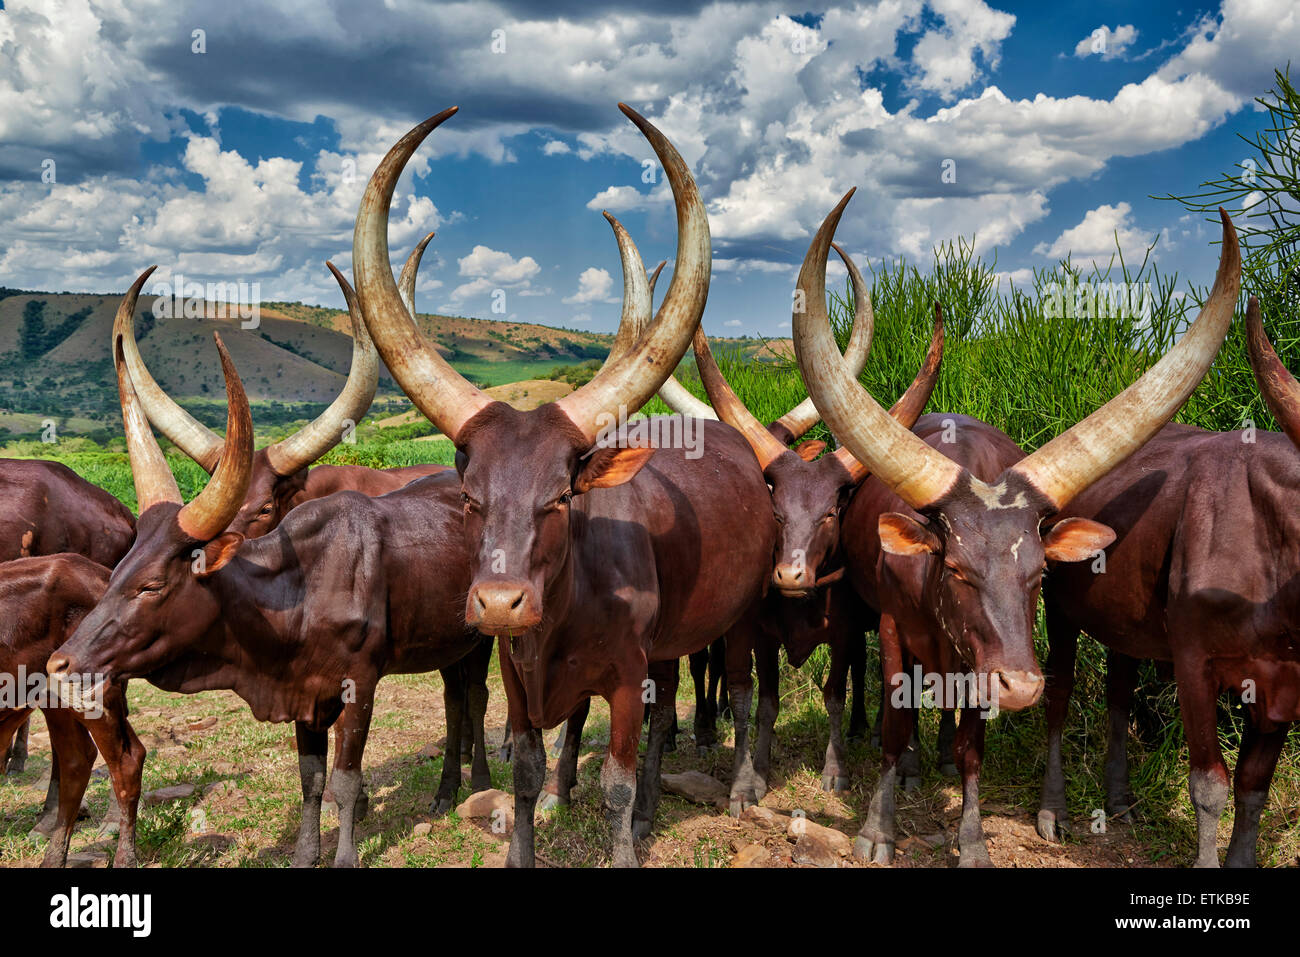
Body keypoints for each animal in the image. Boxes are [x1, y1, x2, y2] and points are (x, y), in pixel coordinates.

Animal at [0, 554, 143, 867]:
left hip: (95, 696)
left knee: (126, 759)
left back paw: (125, 856)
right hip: (52, 697)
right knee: (76, 760)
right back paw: (53, 856)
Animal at [49, 271, 489, 867]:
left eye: (152, 585)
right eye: (114, 574)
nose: (59, 665)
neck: (297, 594)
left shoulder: (358, 688)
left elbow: (345, 781)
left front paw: (344, 855)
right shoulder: (306, 698)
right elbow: (311, 780)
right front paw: (305, 854)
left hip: (487, 637)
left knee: (479, 698)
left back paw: (481, 778)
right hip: (447, 643)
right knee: (454, 699)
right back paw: (446, 790)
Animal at [352, 103, 778, 867]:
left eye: (560, 497)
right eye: (471, 497)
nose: (499, 602)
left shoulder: (625, 673)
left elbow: (616, 778)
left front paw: (625, 840)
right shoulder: (517, 677)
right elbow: (524, 770)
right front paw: (536, 827)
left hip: (742, 616)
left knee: (738, 690)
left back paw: (736, 788)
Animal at [792, 194, 1240, 866]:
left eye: (1039, 573)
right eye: (956, 569)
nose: (1024, 686)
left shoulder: (984, 659)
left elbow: (973, 746)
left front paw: (972, 838)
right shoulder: (896, 629)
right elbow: (895, 727)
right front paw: (877, 828)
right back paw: (915, 770)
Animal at [1035, 295, 1295, 867]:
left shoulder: (1285, 683)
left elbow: (1253, 785)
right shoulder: (1195, 663)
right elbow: (1210, 783)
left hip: (1124, 621)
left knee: (1118, 694)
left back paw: (1119, 800)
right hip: (1058, 611)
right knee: (1059, 693)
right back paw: (1052, 810)